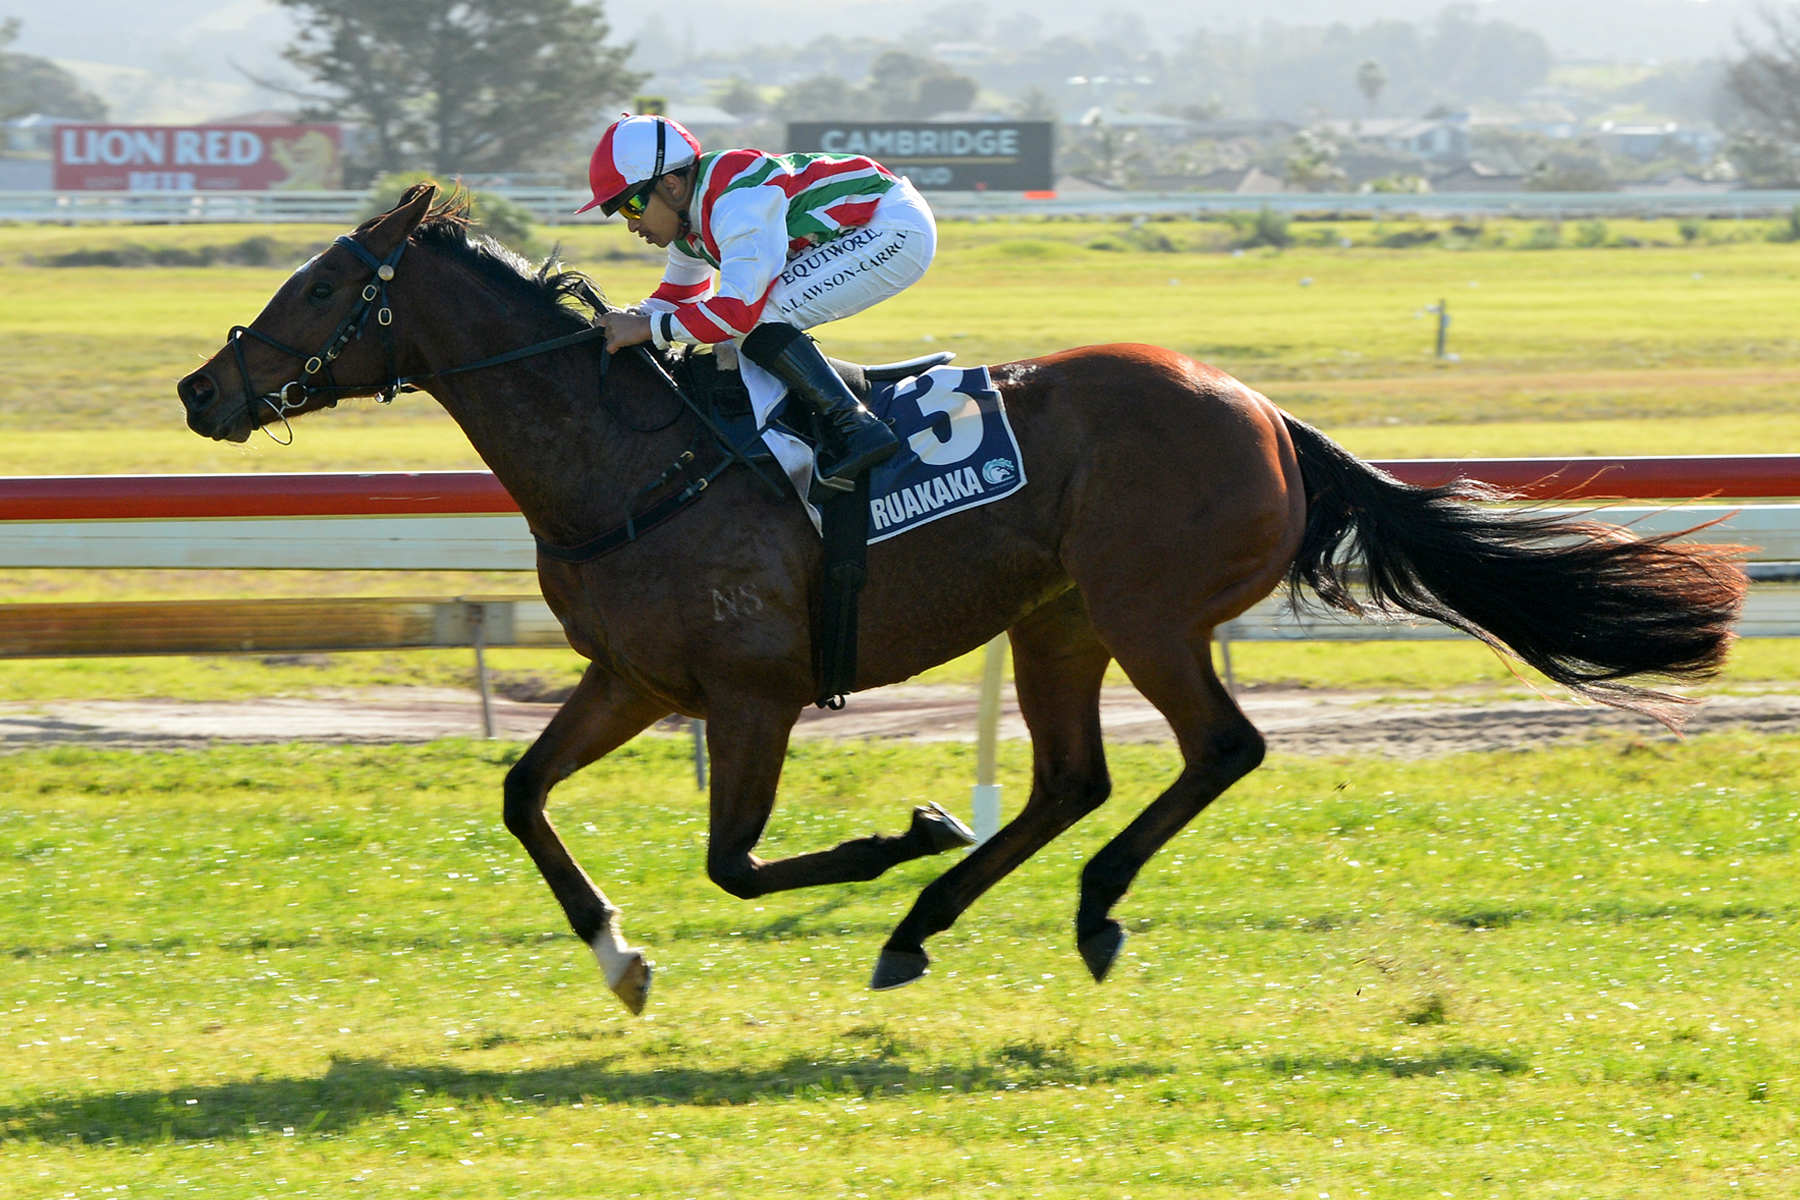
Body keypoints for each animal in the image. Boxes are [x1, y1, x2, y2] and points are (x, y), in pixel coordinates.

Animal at [176, 185, 1746, 1016]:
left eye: (316, 290)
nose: (200, 390)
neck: (636, 458)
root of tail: (1263, 409)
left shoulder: (753, 694)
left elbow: (737, 864)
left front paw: (909, 826)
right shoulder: (635, 681)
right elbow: (520, 797)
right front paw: (618, 957)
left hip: (1145, 610)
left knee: (1217, 750)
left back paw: (1065, 904)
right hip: (1057, 618)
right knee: (1071, 781)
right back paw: (925, 924)